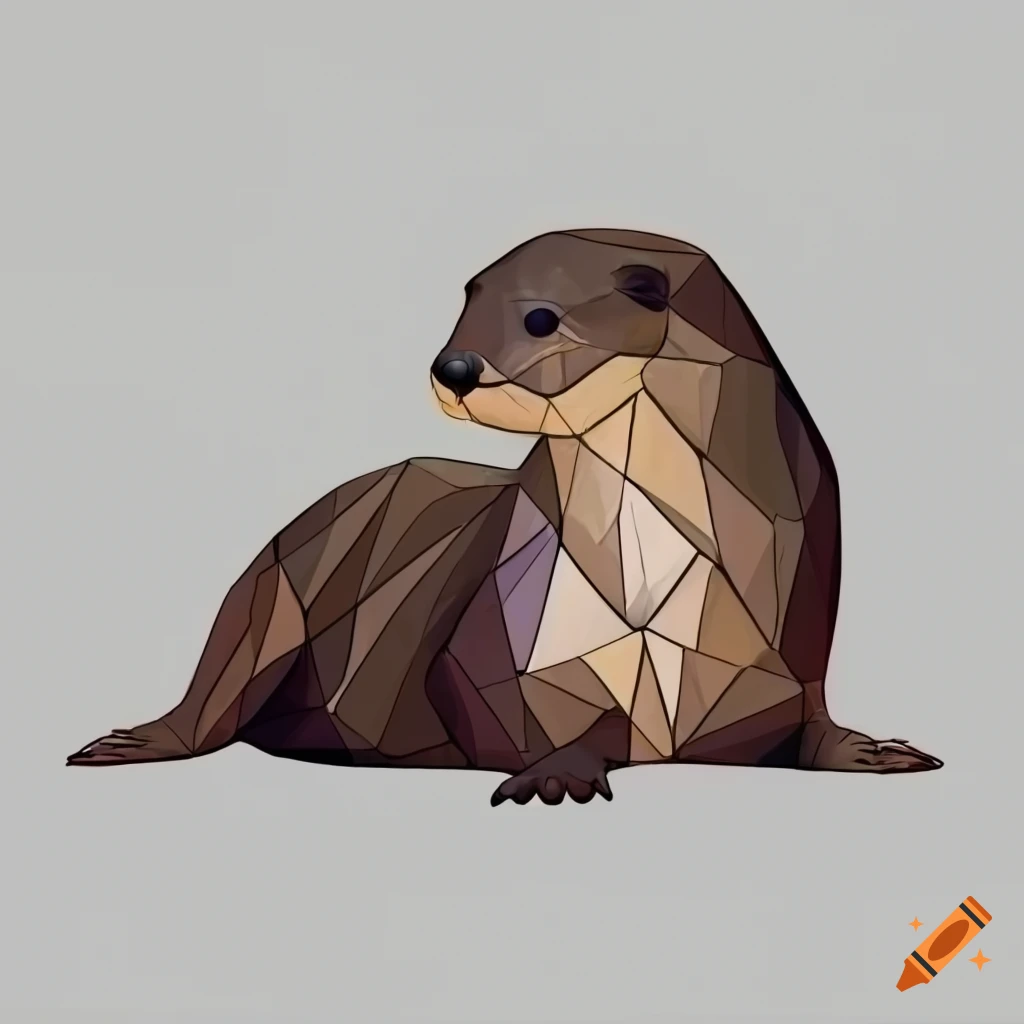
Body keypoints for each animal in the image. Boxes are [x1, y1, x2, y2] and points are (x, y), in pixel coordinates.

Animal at [67, 228, 942, 805]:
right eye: (464, 308)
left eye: (542, 318)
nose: (453, 368)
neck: (650, 568)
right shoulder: (511, 615)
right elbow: (512, 703)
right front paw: (560, 769)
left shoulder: (787, 632)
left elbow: (807, 716)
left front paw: (873, 751)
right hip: (268, 593)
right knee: (208, 701)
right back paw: (138, 740)